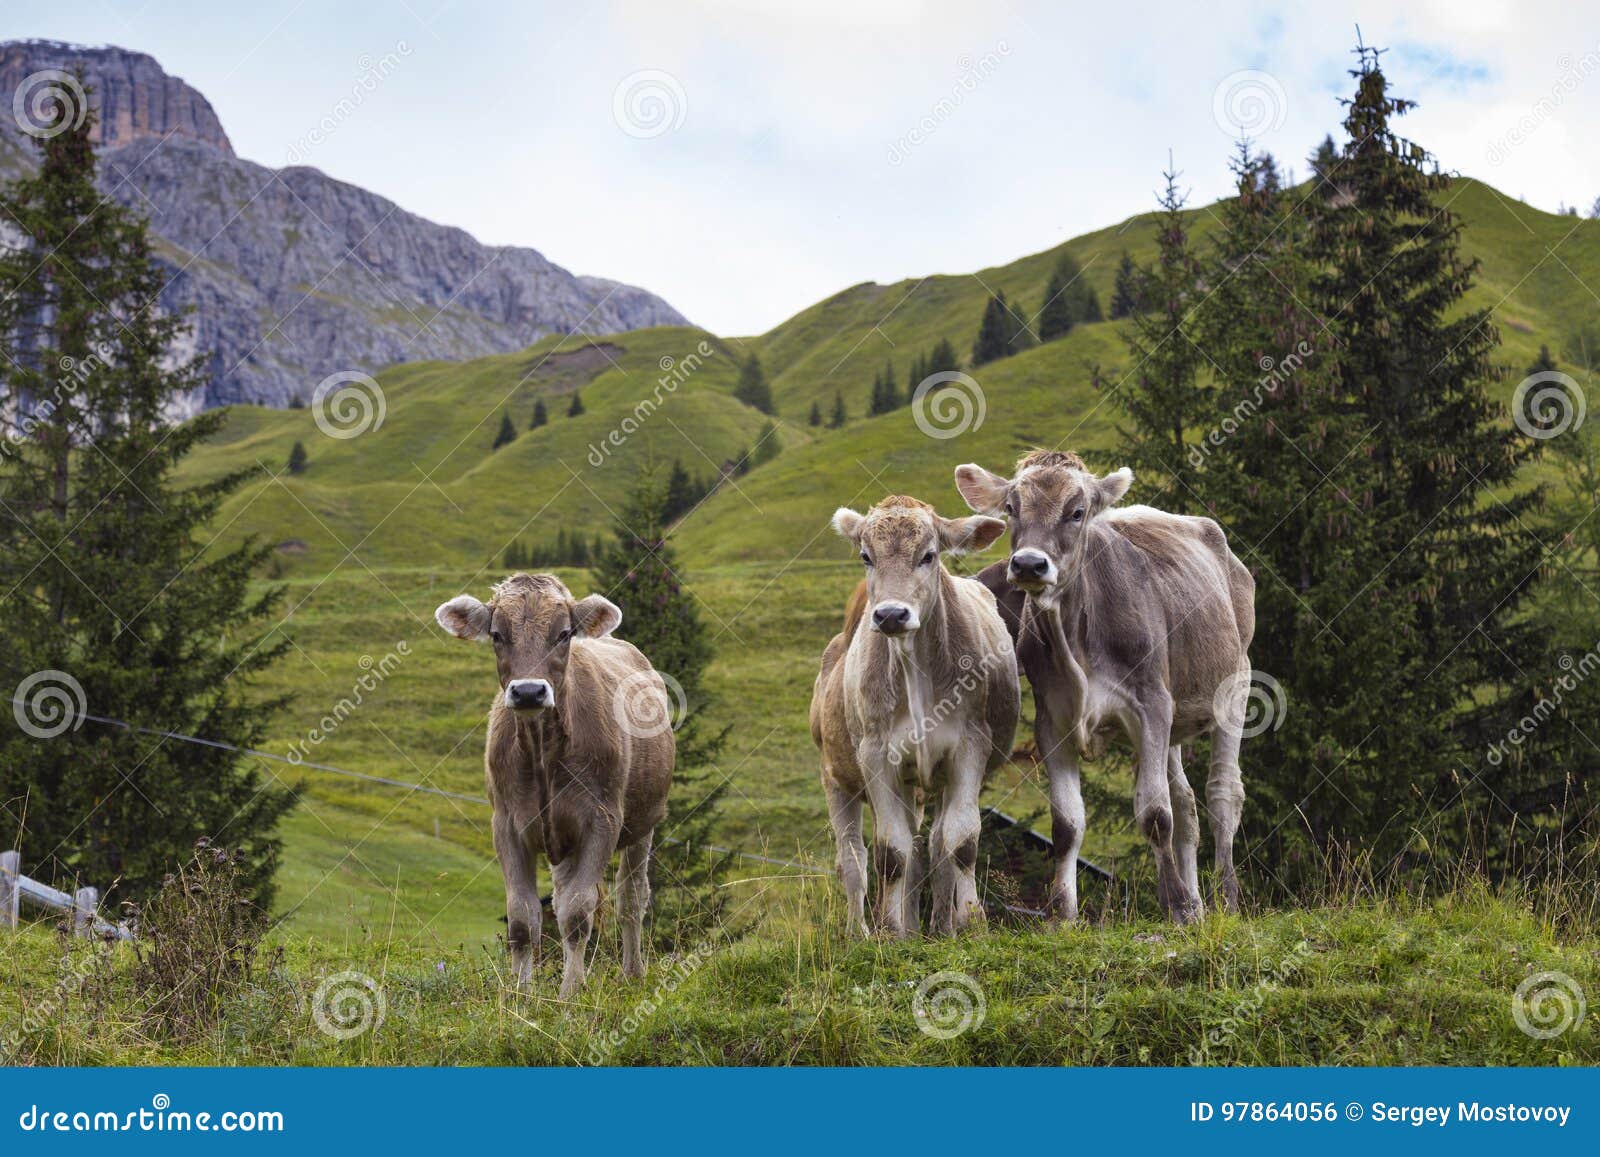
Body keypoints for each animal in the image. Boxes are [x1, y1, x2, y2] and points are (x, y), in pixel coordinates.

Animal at [435, 573, 673, 997]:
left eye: (563, 634)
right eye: (497, 634)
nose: (529, 691)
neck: (542, 750)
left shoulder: (602, 820)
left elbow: (578, 913)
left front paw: (571, 993)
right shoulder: (506, 824)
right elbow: (523, 917)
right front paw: (519, 994)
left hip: (645, 821)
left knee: (631, 897)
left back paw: (632, 973)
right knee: (561, 898)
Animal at [810, 496, 1020, 937]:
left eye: (928, 555)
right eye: (866, 556)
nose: (891, 614)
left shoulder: (970, 746)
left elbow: (960, 841)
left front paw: (970, 923)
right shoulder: (875, 755)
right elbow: (892, 851)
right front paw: (892, 932)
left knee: (934, 844)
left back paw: (940, 925)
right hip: (835, 777)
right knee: (853, 858)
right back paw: (863, 932)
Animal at [954, 450, 1254, 924]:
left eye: (1077, 512)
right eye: (1012, 508)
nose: (1029, 564)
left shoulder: (1150, 705)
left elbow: (1155, 813)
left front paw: (1176, 908)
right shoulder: (1053, 720)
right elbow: (1067, 823)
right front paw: (1063, 914)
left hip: (1234, 685)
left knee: (1223, 794)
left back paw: (1227, 901)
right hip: (1175, 721)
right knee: (1187, 804)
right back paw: (1199, 904)